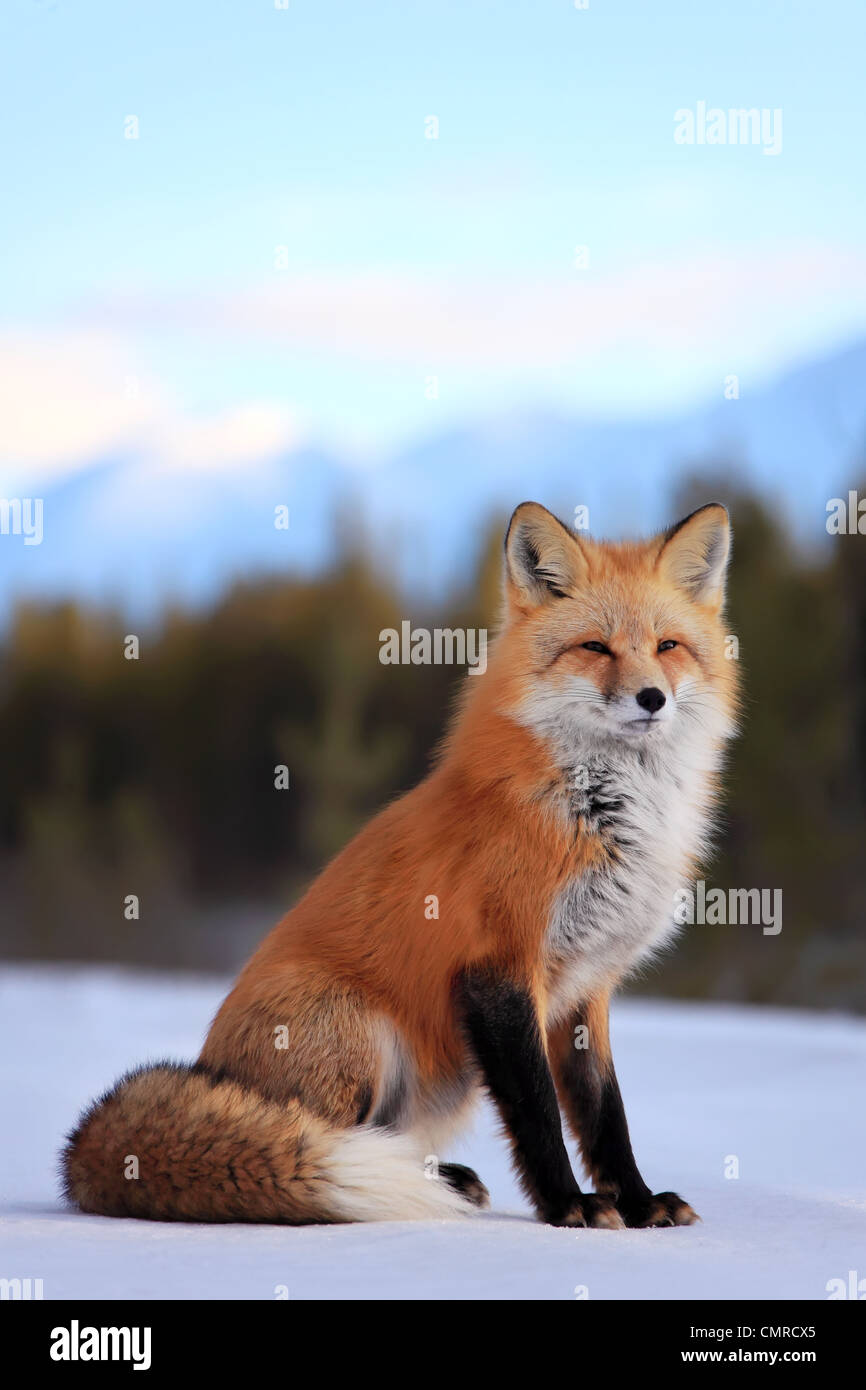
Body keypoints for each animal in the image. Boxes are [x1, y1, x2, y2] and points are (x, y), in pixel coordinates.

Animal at [62, 500, 738, 1229]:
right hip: (363, 1034)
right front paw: (568, 1206)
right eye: (595, 648)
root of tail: (210, 1066)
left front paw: (639, 1204)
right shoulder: (500, 969)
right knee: (315, 1143)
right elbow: (538, 1114)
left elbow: (605, 1114)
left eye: (667, 647)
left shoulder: (587, 988)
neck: (601, 812)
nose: (652, 698)